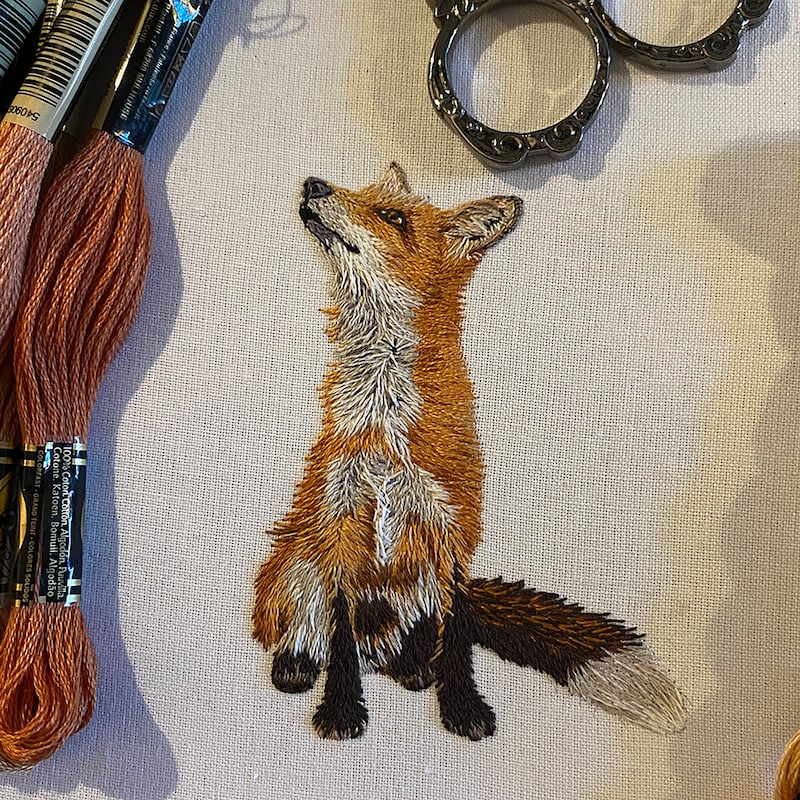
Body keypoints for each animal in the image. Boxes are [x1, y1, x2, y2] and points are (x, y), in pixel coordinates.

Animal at [253, 164, 687, 741]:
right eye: (361, 192)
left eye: (392, 215)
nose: (314, 184)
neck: (386, 423)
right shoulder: (342, 523)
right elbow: (340, 641)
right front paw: (341, 713)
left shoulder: (450, 531)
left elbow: (457, 641)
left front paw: (463, 710)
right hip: (299, 562)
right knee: (319, 632)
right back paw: (298, 665)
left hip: (415, 584)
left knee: (416, 642)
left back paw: (413, 670)